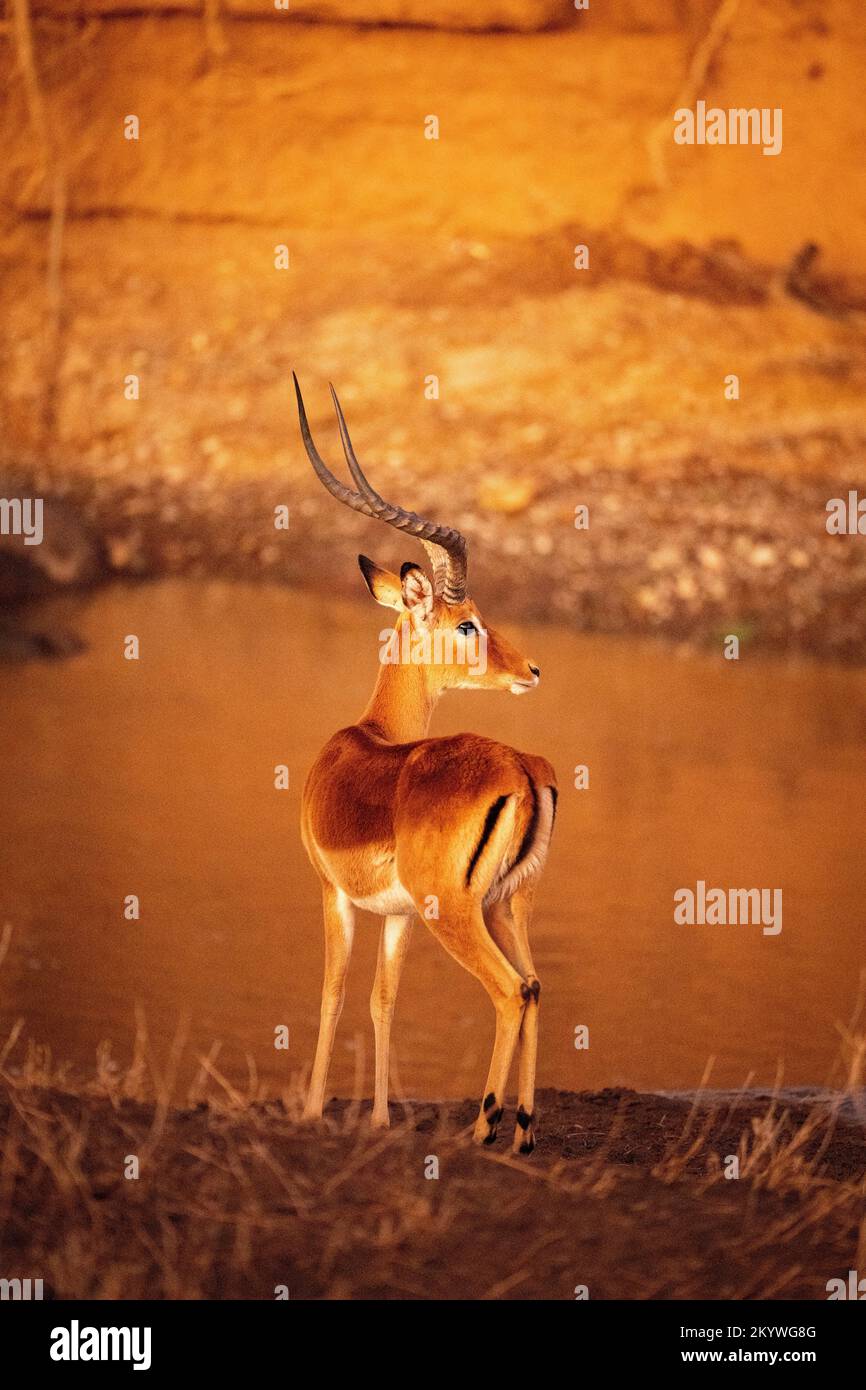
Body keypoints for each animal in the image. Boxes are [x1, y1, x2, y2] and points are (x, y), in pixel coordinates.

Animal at [295, 376, 557, 1153]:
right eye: (465, 622)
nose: (532, 669)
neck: (367, 737)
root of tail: (523, 771)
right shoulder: (398, 913)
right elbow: (382, 999)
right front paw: (381, 1118)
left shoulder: (334, 893)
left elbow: (332, 993)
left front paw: (312, 1111)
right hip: (507, 904)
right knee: (535, 984)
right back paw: (523, 1131)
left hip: (461, 913)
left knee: (510, 990)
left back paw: (483, 1127)